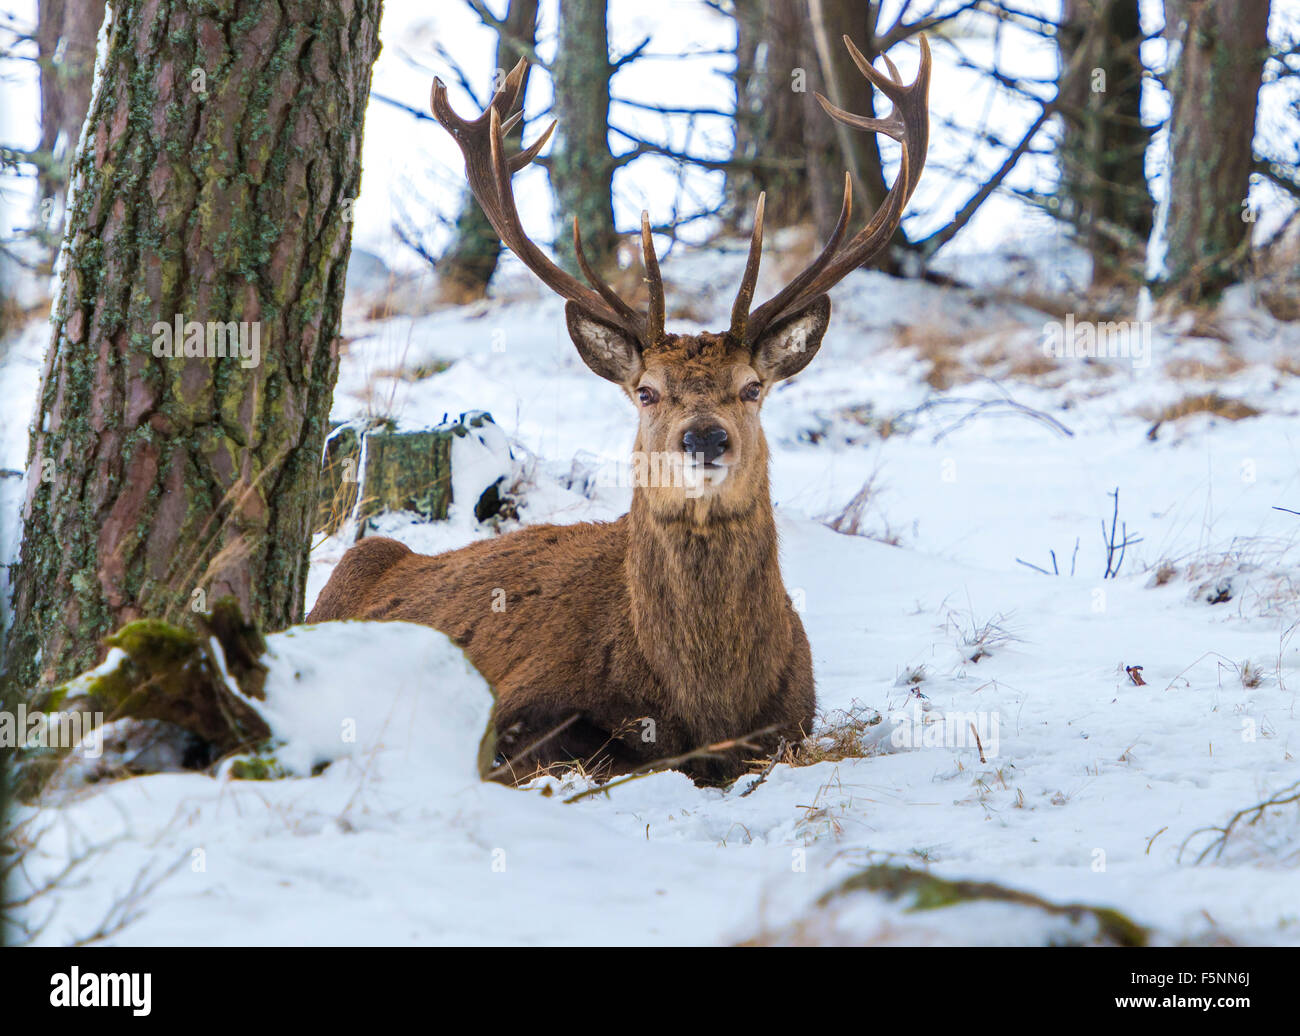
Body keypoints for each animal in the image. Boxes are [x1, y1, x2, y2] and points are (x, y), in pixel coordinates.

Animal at [307, 35, 931, 786]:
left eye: (752, 387)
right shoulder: (517, 706)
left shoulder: (795, 719)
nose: (704, 439)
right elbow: (607, 752)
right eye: (646, 391)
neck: (709, 701)